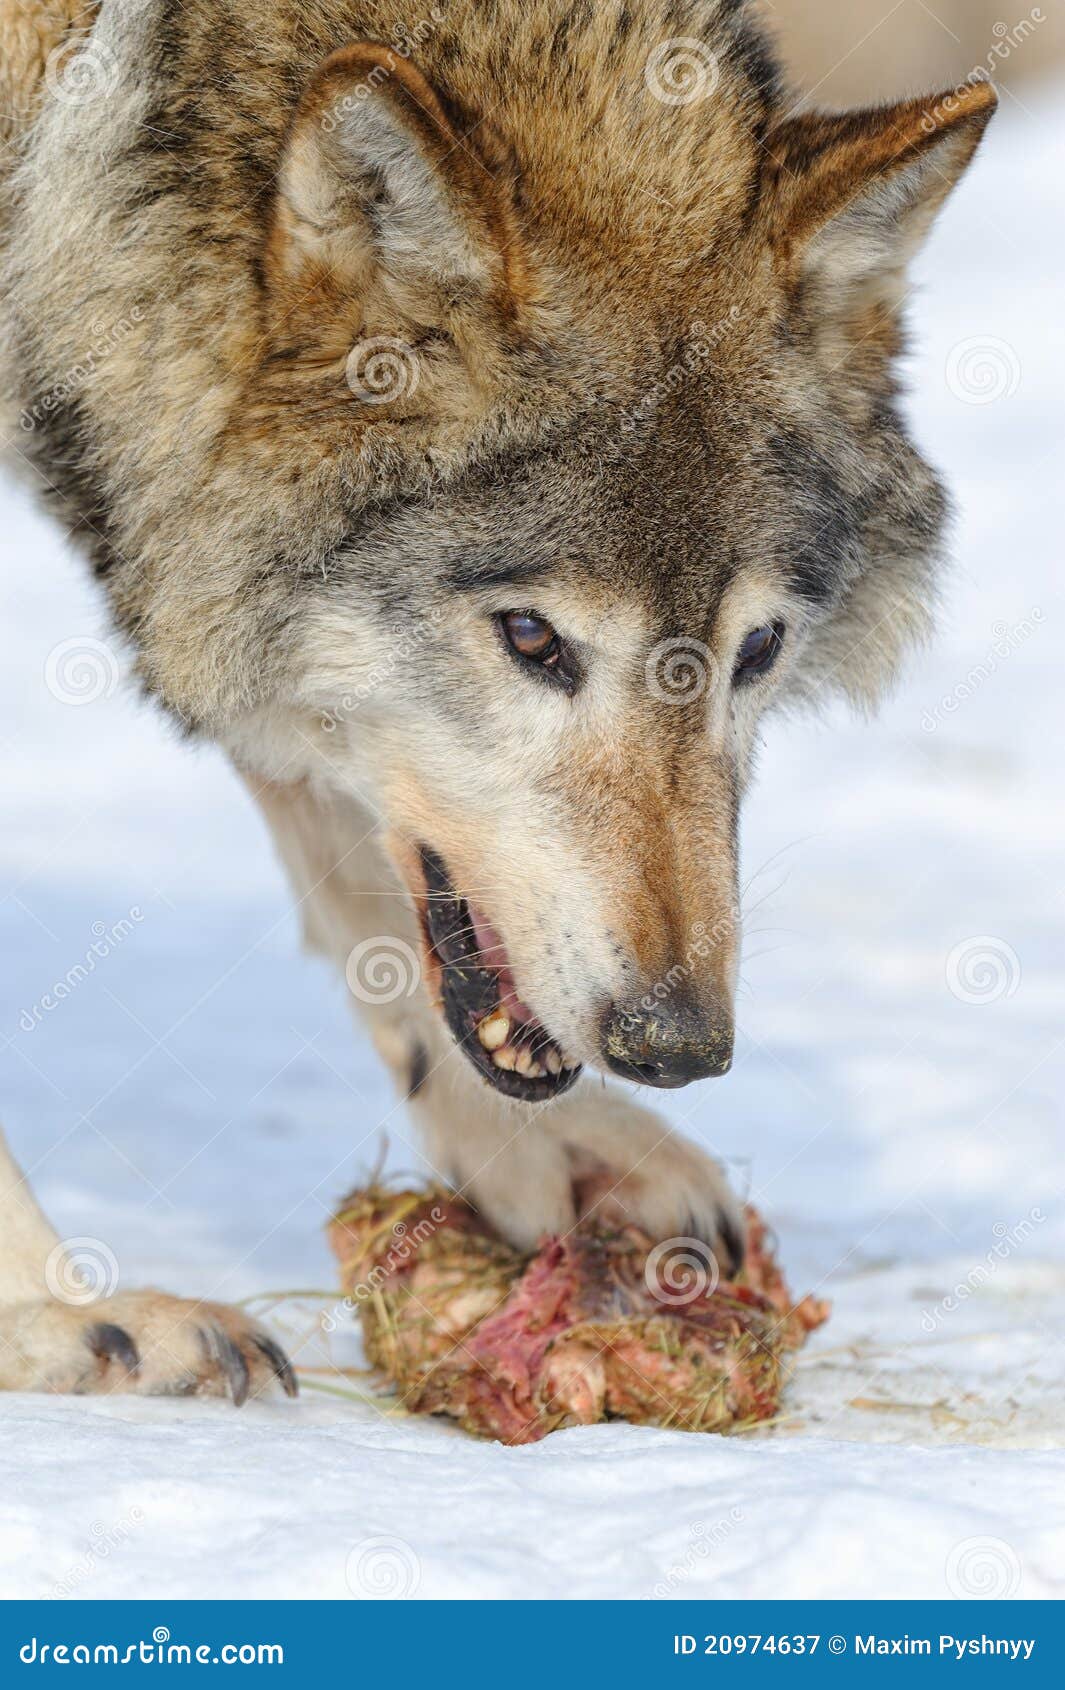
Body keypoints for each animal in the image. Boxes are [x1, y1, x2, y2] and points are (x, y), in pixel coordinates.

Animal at [0, 0, 995, 1401]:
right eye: (532, 638)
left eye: (755, 651)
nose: (677, 1046)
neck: (114, 90)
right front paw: (56, 1316)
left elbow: (351, 857)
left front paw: (562, 1142)